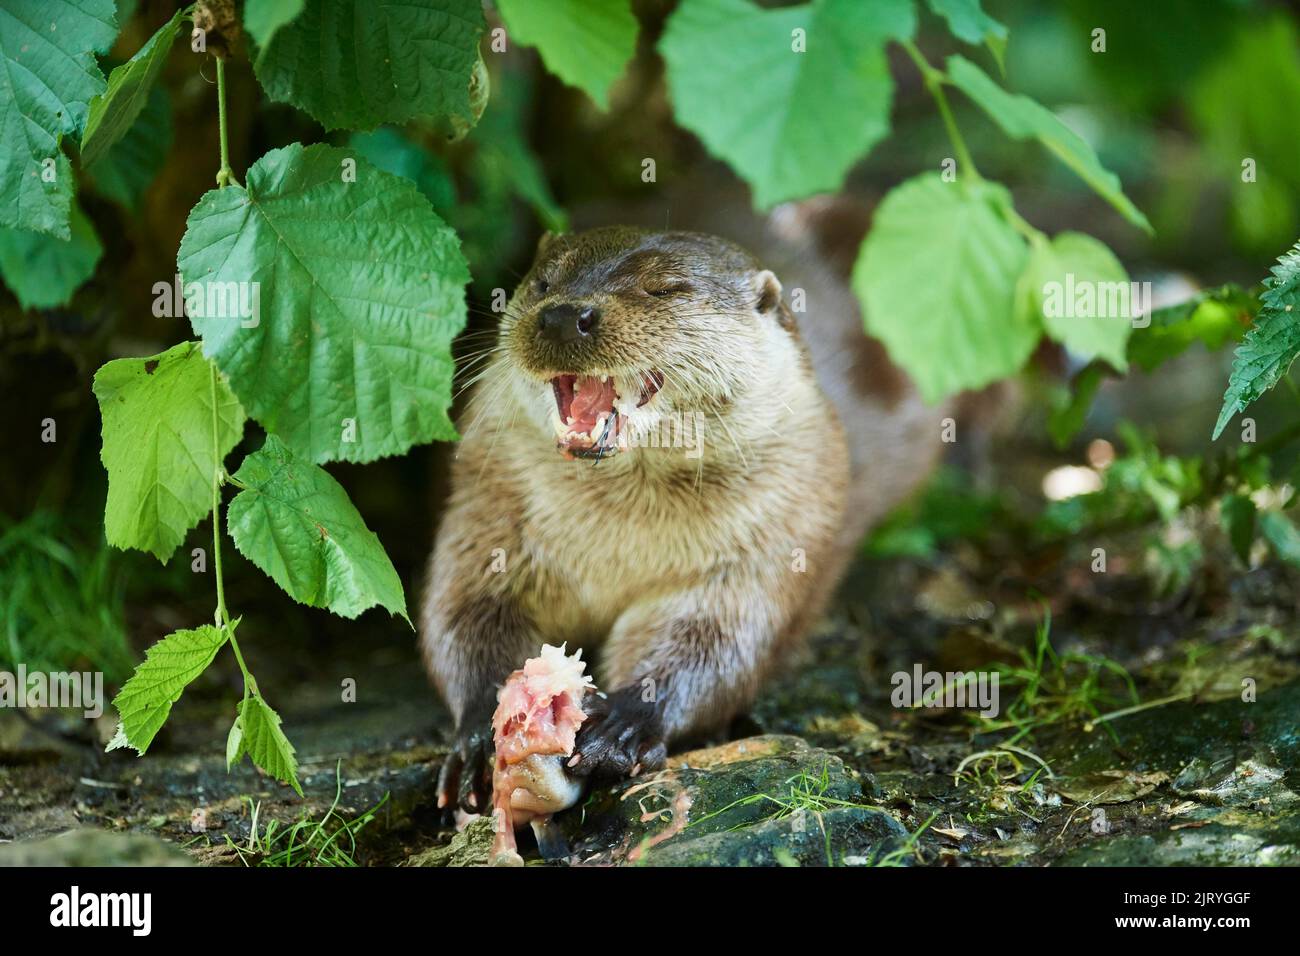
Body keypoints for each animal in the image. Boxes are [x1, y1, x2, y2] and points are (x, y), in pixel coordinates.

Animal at [422, 221, 946, 812]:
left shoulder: (772, 537)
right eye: (544, 282)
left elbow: (716, 642)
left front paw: (624, 725)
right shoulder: (488, 512)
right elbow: (464, 613)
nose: (562, 314)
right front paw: (481, 735)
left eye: (665, 289)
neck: (616, 544)